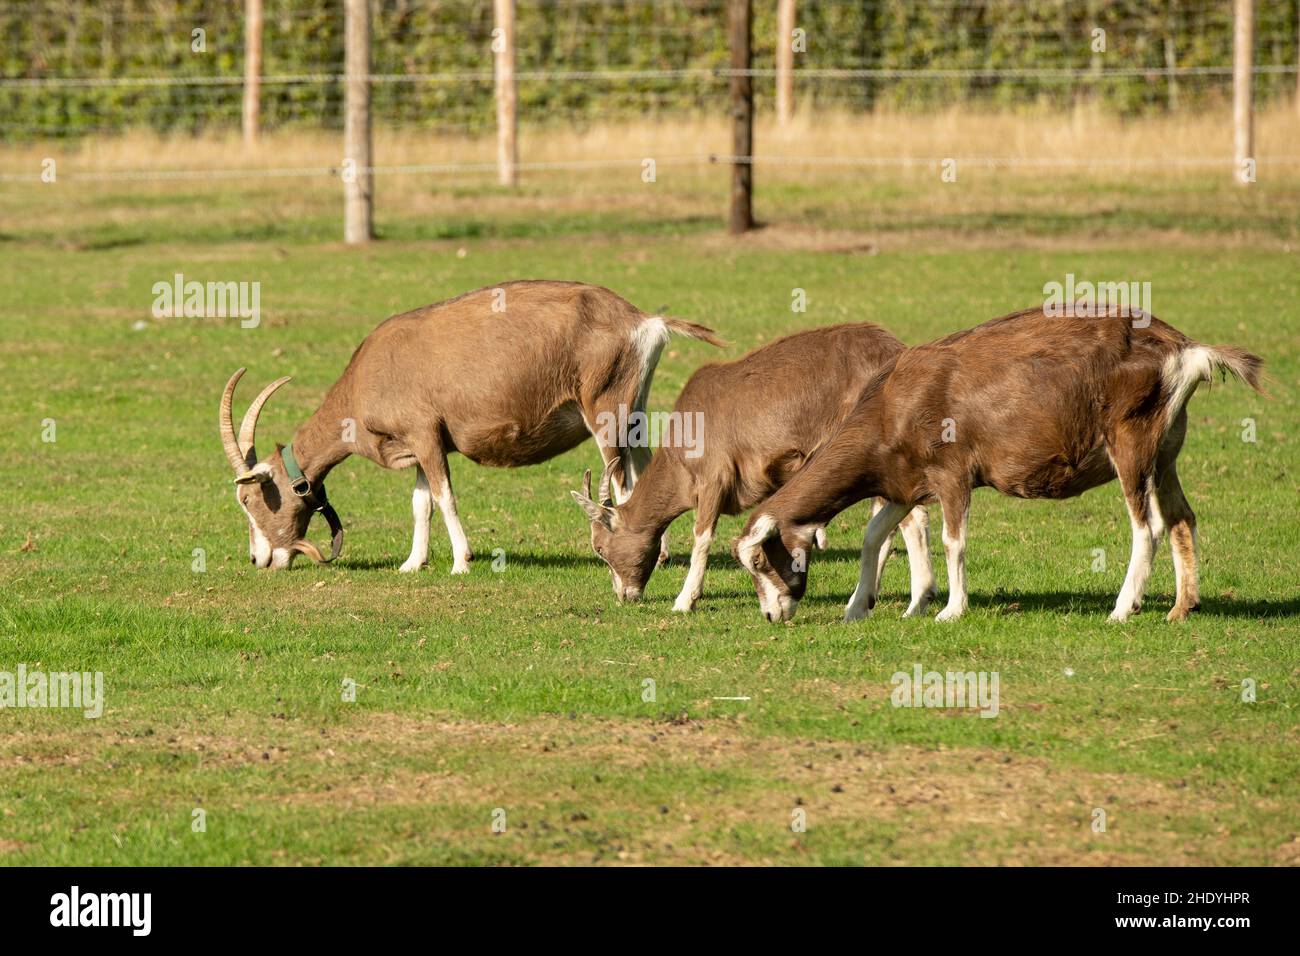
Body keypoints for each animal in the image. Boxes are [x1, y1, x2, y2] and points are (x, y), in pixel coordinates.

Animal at [219, 280, 720, 570]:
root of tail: (645, 321)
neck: (370, 371)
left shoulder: (426, 436)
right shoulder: (420, 446)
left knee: (621, 480)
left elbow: (445, 498)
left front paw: (462, 560)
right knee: (643, 469)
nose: (259, 559)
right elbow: (421, 503)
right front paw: (412, 564)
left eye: (248, 499)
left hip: (605, 414)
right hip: (633, 412)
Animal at [571, 323, 934, 612]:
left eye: (600, 548)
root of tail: (897, 353)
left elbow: (702, 535)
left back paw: (916, 598)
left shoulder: (713, 479)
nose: (624, 595)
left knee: (908, 518)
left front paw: (684, 600)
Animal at [734, 308, 1263, 623]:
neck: (891, 406)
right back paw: (1181, 607)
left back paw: (1121, 608)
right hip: (1166, 451)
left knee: (1147, 525)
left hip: (1131, 443)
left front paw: (951, 610)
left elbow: (953, 541)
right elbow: (873, 537)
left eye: (759, 560)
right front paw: (858, 608)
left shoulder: (951, 474)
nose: (771, 615)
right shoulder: (905, 483)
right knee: (1180, 519)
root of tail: (1186, 349)